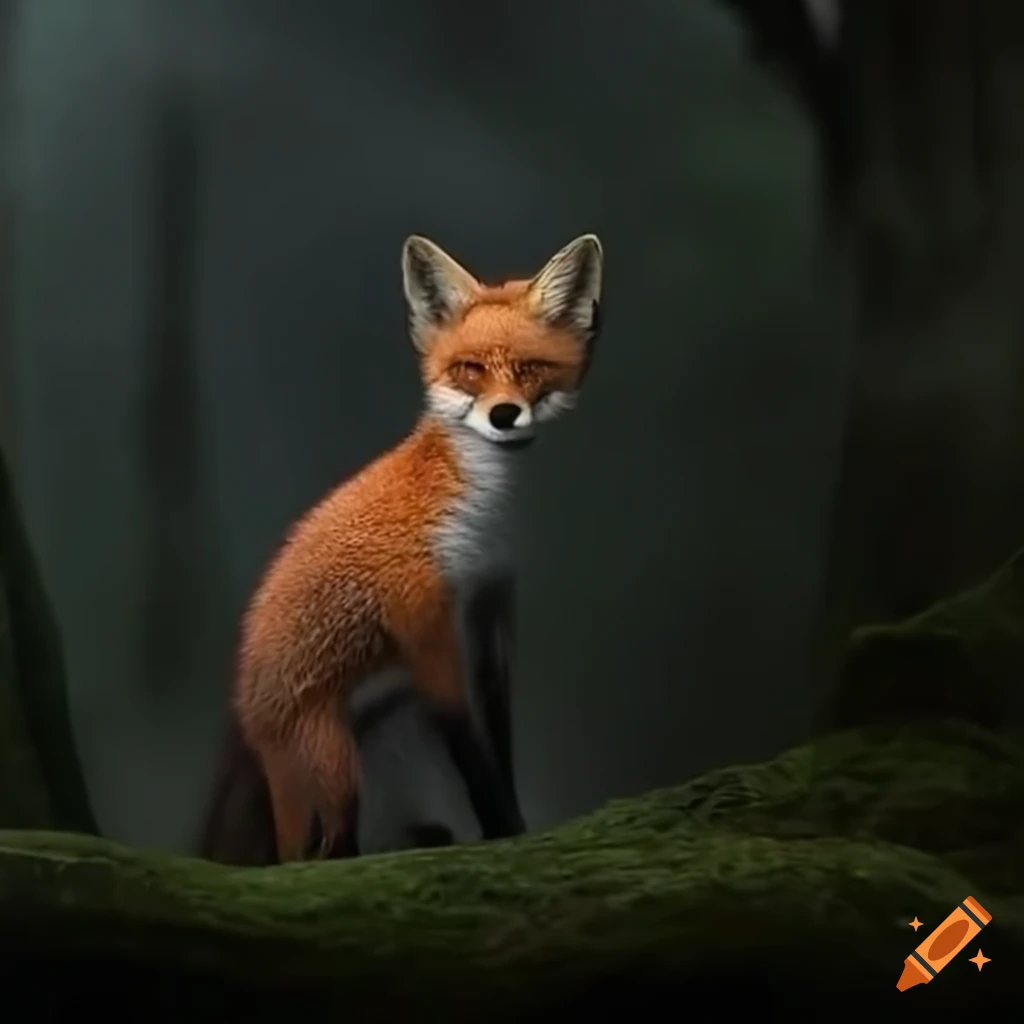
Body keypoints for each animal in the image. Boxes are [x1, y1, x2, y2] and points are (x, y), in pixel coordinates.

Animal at [234, 231, 604, 862]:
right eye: (469, 370)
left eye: (531, 369)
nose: (504, 416)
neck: (480, 519)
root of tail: (250, 716)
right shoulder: (426, 624)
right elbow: (471, 752)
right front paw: (503, 834)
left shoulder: (491, 617)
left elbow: (499, 749)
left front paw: (515, 826)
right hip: (339, 773)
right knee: (321, 856)